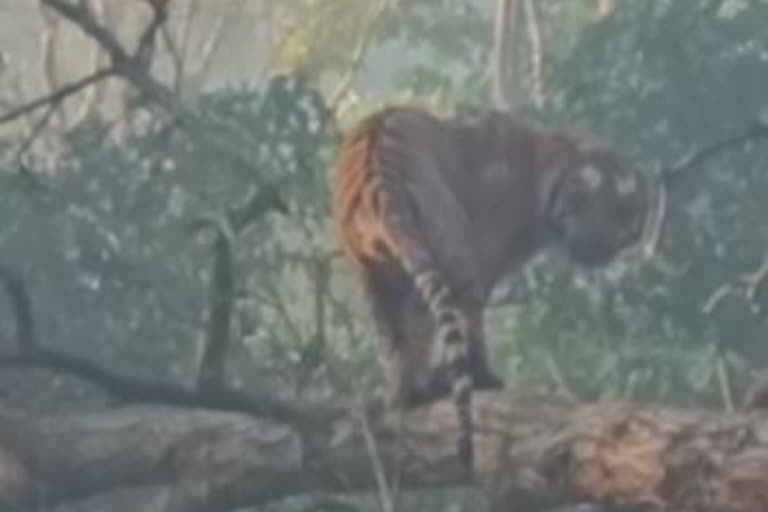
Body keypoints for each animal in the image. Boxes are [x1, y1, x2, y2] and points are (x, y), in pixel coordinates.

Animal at [331, 105, 653, 472]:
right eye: (620, 208)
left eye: (631, 225)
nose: (609, 252)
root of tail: (377, 167)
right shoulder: (483, 263)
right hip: (454, 252)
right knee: (444, 321)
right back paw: (474, 380)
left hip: (377, 275)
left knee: (395, 338)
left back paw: (403, 397)